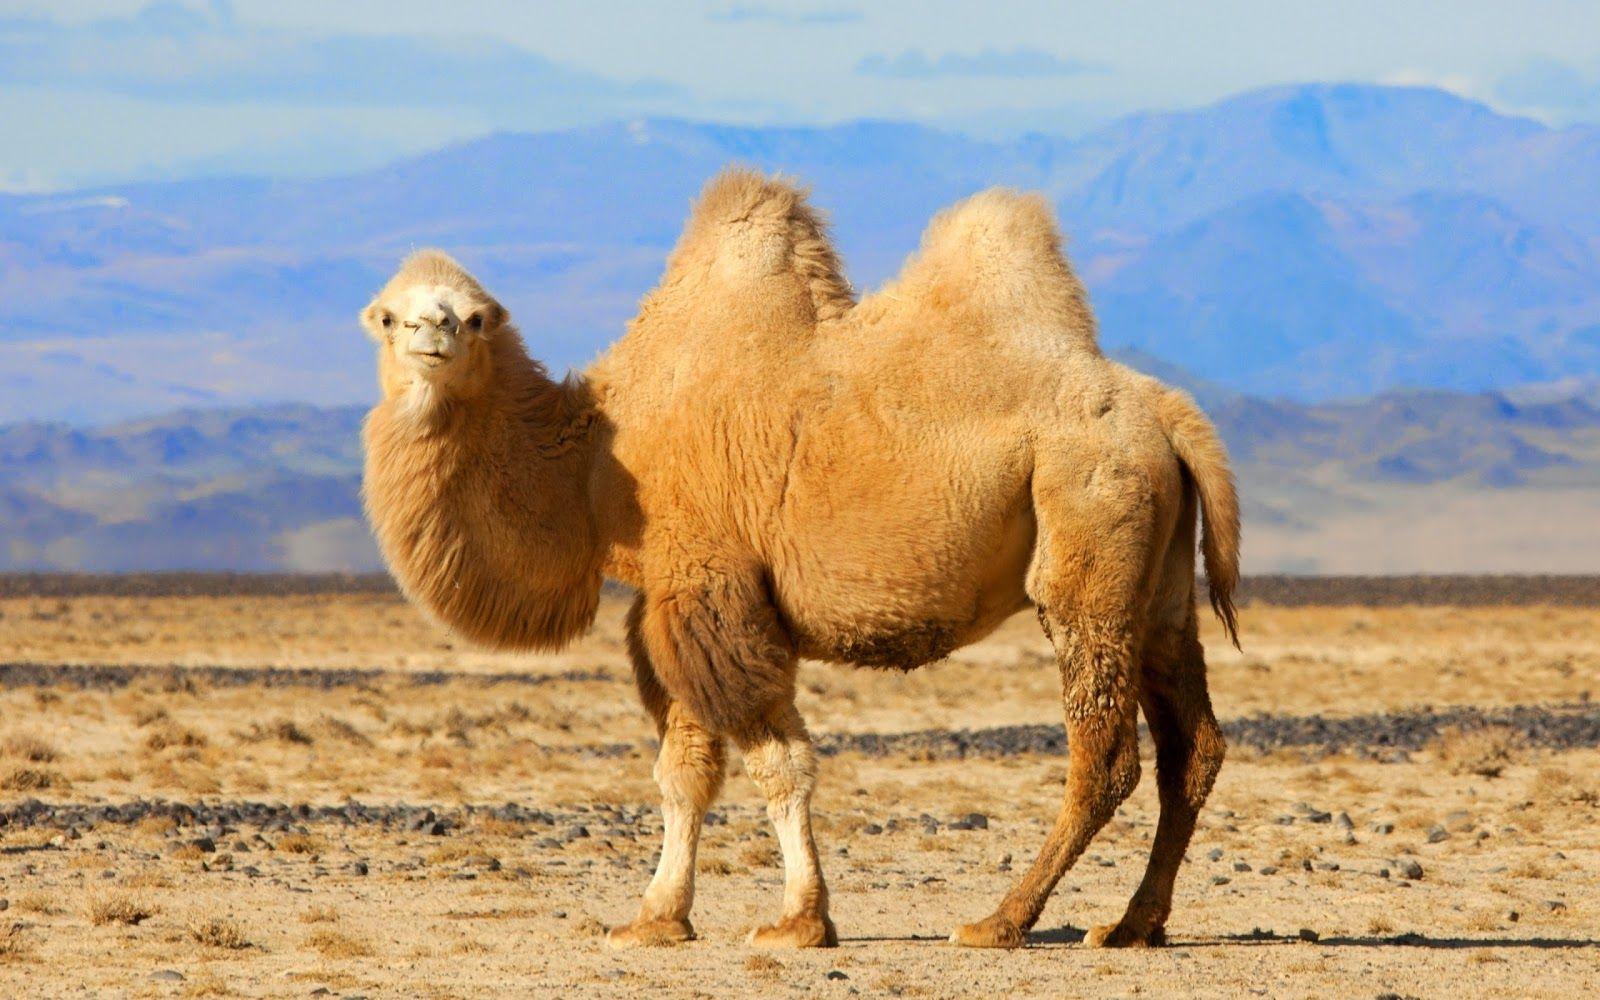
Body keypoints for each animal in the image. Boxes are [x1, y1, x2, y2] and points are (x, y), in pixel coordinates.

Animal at [360, 169, 1240, 951]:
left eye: (474, 318)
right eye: (389, 316)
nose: (433, 336)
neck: (597, 462)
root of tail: (1169, 414)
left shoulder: (713, 588)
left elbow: (776, 763)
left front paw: (799, 921)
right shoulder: (672, 601)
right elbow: (685, 770)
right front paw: (656, 919)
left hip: (1089, 532)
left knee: (1106, 754)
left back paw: (1001, 922)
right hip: (1158, 584)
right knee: (1192, 745)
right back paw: (1130, 925)